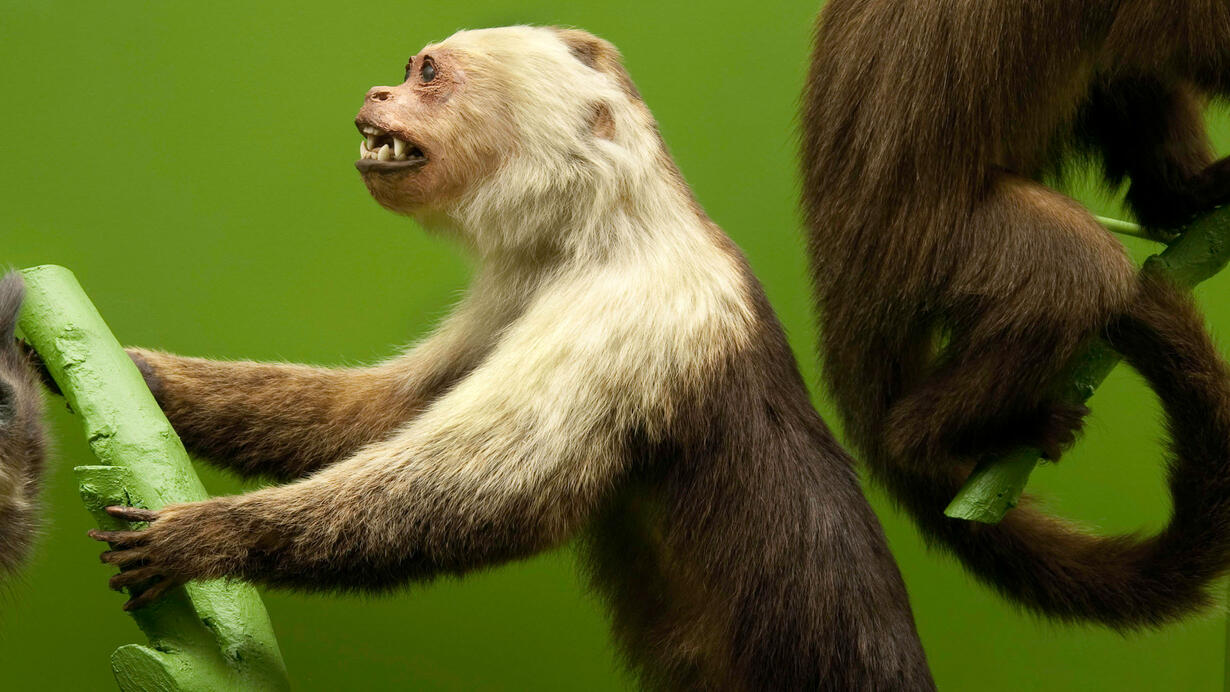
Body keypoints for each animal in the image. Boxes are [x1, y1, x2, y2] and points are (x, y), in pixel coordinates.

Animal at [51, 26, 937, 690]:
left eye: (428, 74)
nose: (378, 93)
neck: (597, 234)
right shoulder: (519, 284)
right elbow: (377, 415)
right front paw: (141, 375)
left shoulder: (634, 310)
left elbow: (502, 488)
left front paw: (213, 536)